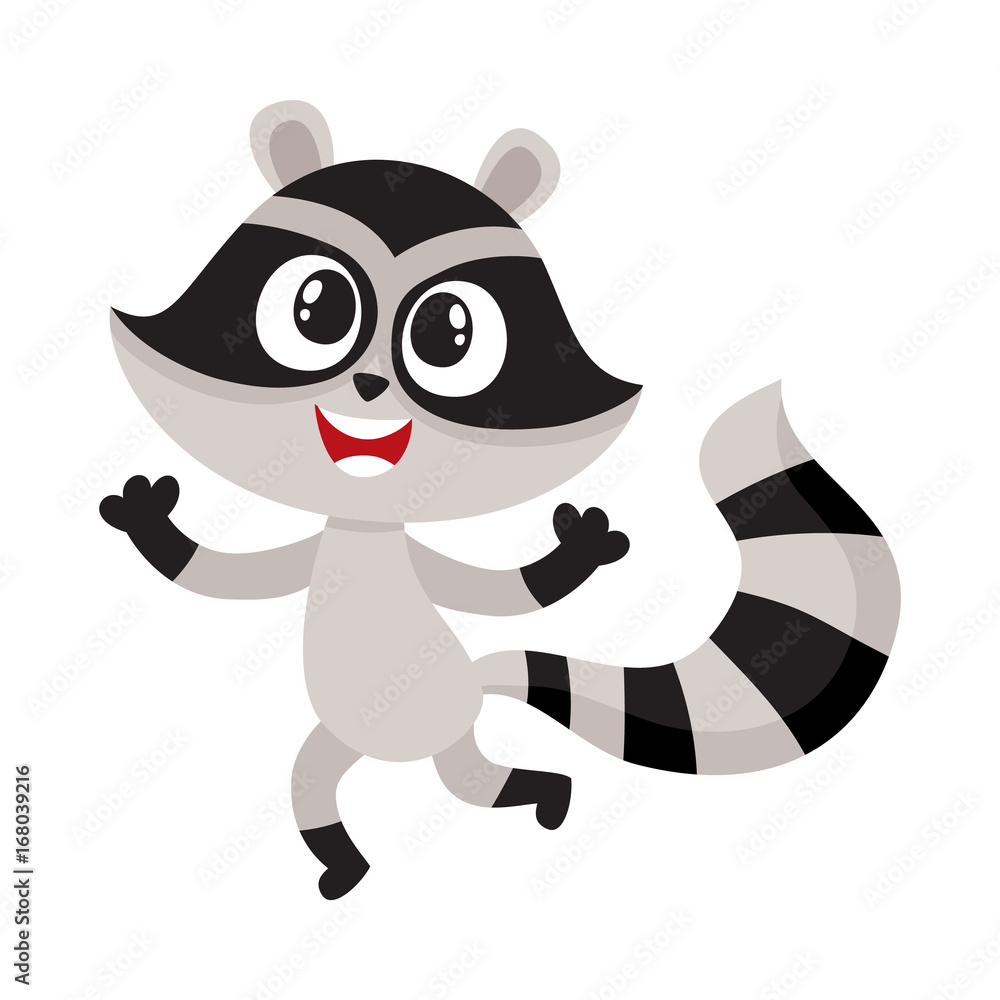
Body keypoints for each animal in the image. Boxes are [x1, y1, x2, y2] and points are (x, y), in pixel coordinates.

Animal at [101, 101, 900, 899]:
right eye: (317, 307)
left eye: (449, 333)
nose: (369, 385)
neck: (368, 523)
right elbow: (220, 575)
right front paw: (147, 520)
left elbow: (512, 591)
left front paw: (580, 549)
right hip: (339, 743)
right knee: (321, 785)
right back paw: (346, 859)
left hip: (448, 735)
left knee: (477, 782)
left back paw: (543, 795)